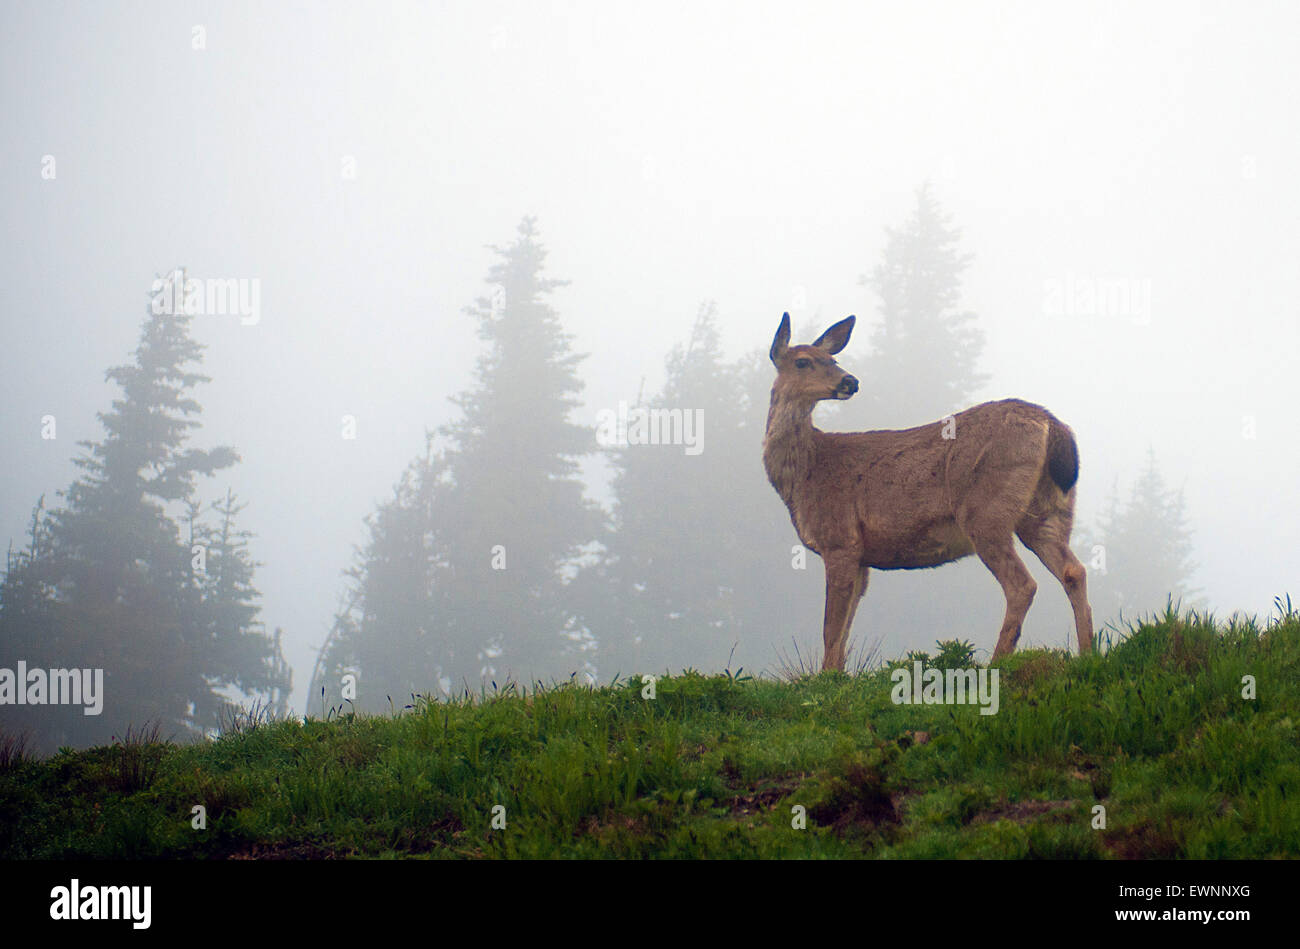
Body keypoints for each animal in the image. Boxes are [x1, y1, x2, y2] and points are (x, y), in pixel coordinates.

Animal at [762, 313, 1094, 672]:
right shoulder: (861, 557)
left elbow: (831, 628)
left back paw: (996, 664)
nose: (850, 381)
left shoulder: (839, 539)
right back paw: (1088, 652)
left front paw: (825, 678)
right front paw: (837, 673)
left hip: (985, 511)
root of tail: (1052, 425)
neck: (805, 475)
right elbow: (845, 630)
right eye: (803, 361)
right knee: (1073, 570)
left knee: (1022, 585)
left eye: (832, 360)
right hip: (1049, 510)